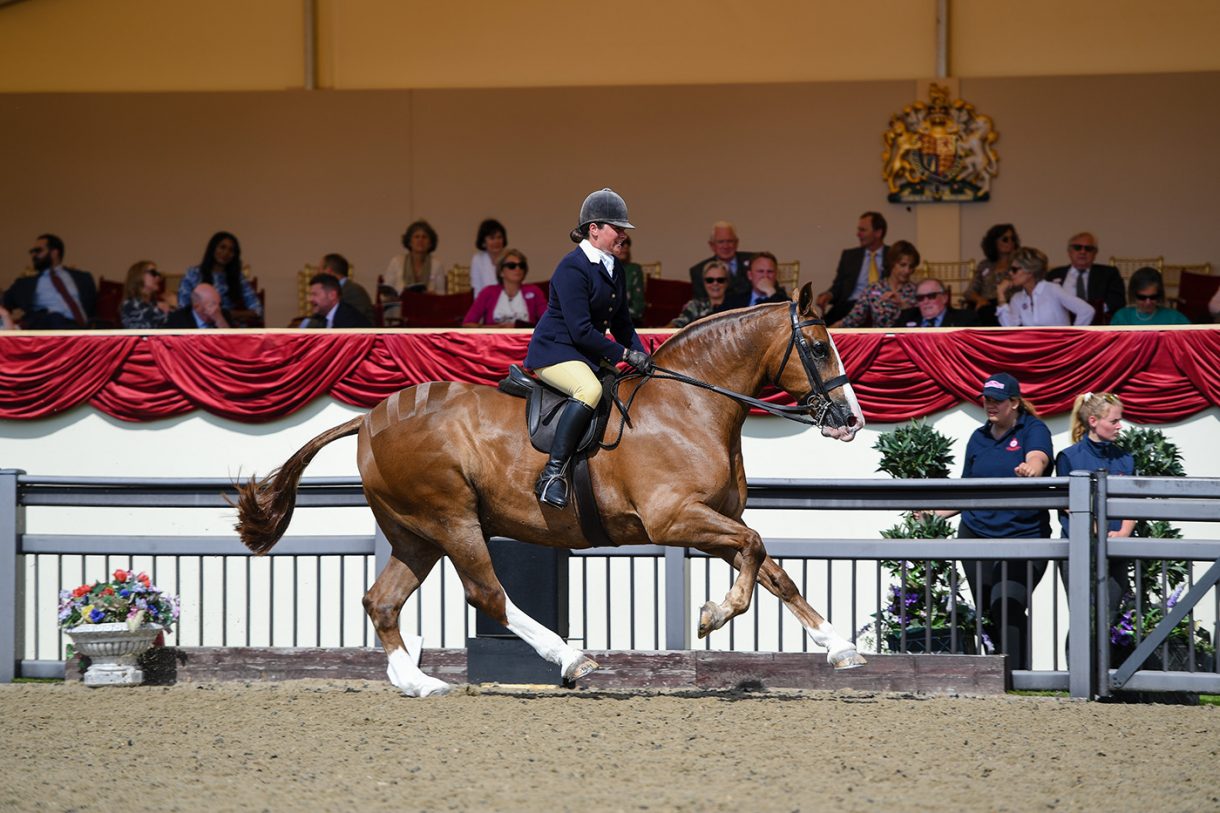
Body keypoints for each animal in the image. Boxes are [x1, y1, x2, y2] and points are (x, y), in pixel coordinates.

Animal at [234, 283, 867, 696]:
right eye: (817, 348)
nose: (851, 420)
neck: (691, 404)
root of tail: (368, 418)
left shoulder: (709, 520)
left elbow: (773, 571)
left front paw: (840, 648)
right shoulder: (674, 518)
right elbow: (756, 551)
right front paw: (713, 615)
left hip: (416, 533)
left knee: (382, 601)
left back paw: (417, 682)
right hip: (452, 519)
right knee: (486, 594)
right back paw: (571, 660)